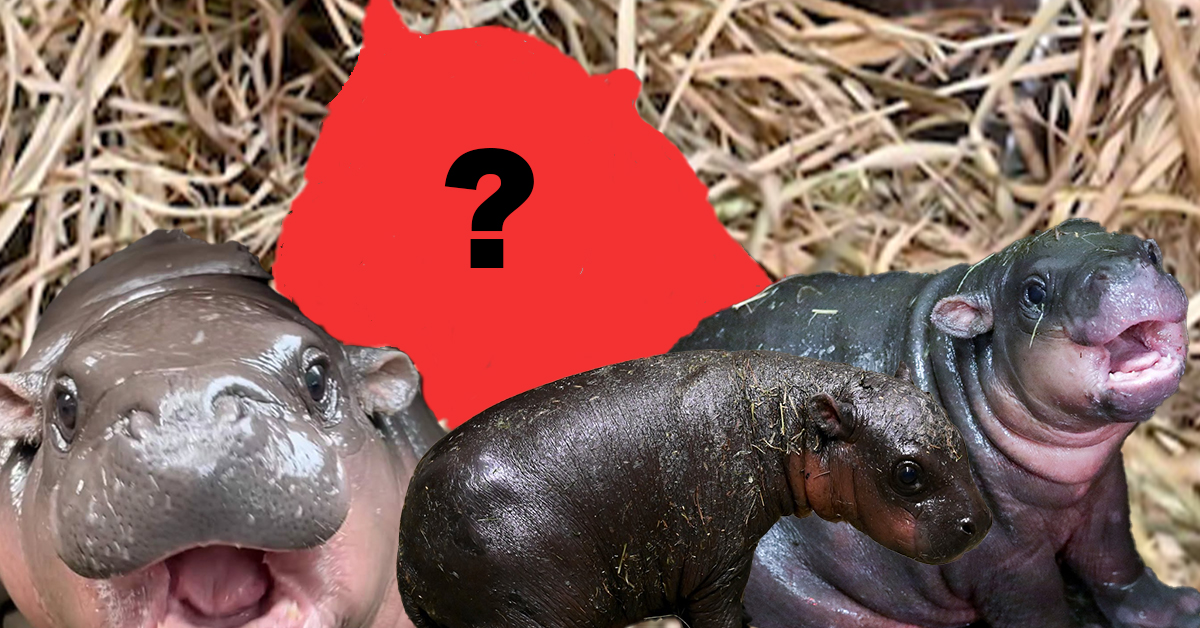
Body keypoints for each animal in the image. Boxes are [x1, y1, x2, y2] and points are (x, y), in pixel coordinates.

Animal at [396, 350, 991, 627]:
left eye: (956, 433)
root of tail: (407, 549)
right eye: (908, 472)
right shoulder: (716, 571)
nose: (981, 522)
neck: (781, 418)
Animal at [671, 218, 1197, 628]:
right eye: (1034, 291)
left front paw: (1182, 607)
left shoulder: (1105, 497)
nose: (1131, 269)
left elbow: (1119, 567)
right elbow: (1039, 610)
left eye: (1145, 247)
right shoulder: (1007, 559)